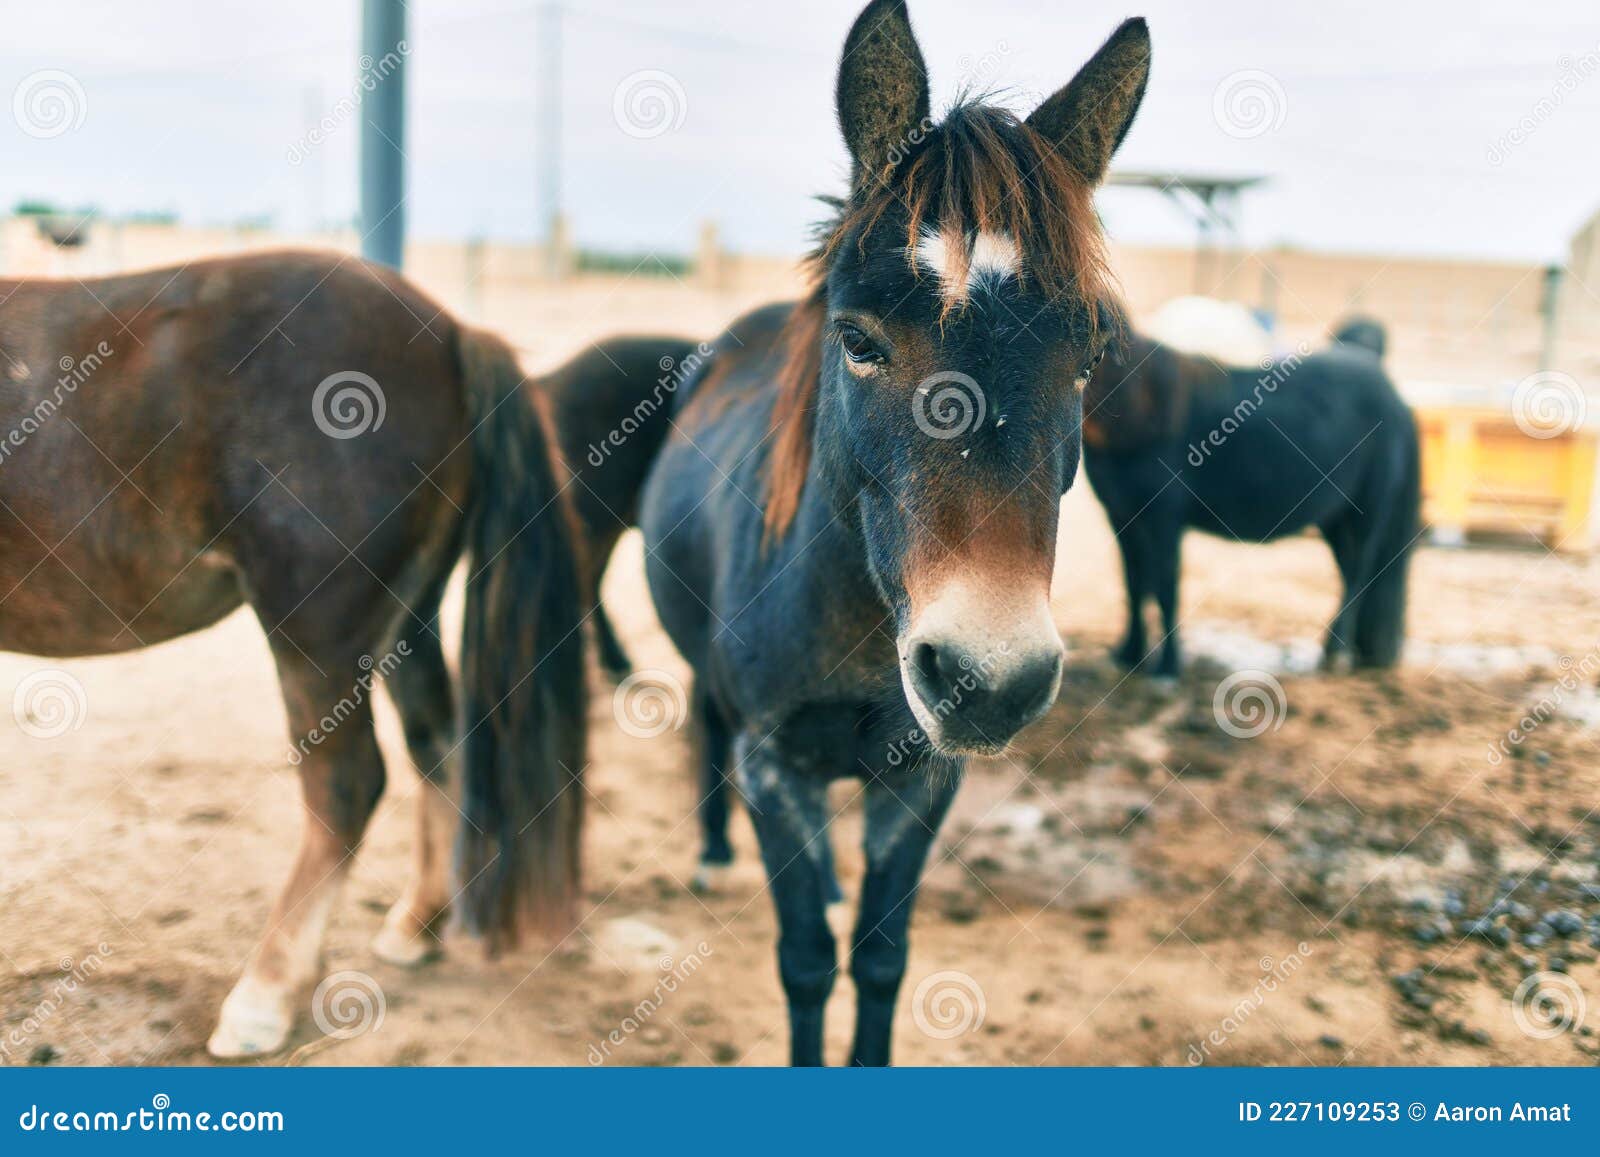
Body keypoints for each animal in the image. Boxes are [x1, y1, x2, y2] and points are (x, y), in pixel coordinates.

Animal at [0, 250, 587, 1058]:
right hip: (405, 622)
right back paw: (417, 925)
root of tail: (446, 334)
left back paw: (265, 995)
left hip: (313, 633)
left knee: (348, 786)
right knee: (437, 744)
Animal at [638, 0, 1152, 1065]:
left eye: (1090, 354)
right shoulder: (774, 766)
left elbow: (879, 959)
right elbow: (804, 961)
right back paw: (713, 851)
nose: (988, 678)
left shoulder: (921, 781)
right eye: (858, 339)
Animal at [1081, 322, 1419, 678]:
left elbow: (1165, 586)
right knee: (1351, 573)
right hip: (1335, 520)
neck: (1141, 405)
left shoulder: (1163, 521)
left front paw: (1167, 667)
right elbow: (1134, 583)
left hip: (1366, 515)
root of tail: (1396, 400)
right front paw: (1129, 653)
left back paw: (1335, 652)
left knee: (1359, 573)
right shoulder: (1122, 518)